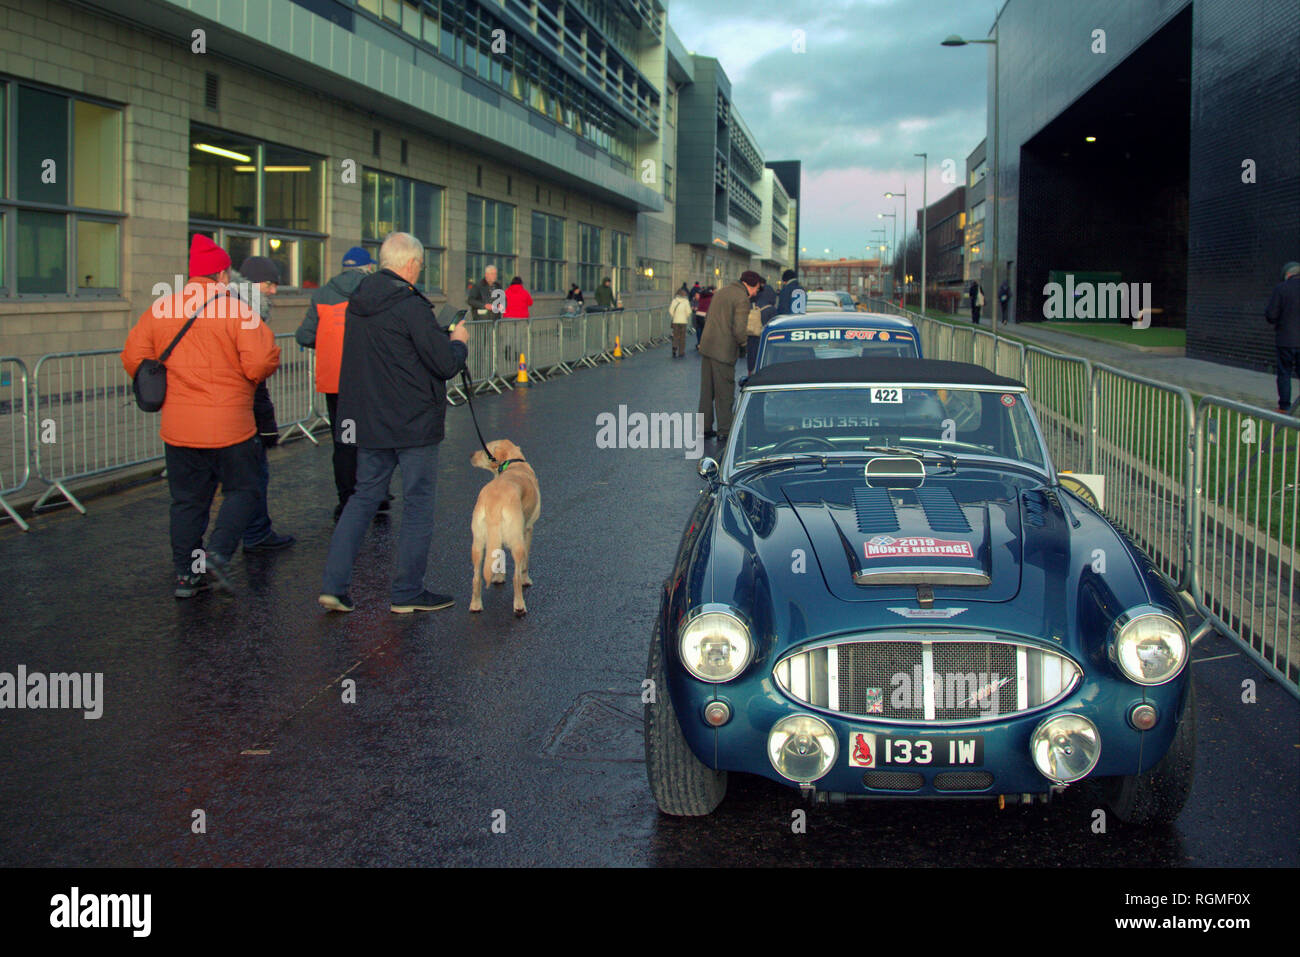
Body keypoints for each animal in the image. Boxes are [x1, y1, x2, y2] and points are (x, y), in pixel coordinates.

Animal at [467, 442, 538, 621]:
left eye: (485, 449)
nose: (470, 454)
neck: (514, 464)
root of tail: (495, 501)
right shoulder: (528, 530)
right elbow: (525, 564)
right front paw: (526, 580)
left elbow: (498, 559)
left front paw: (498, 578)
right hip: (517, 544)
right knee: (516, 577)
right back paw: (519, 606)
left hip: (477, 545)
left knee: (476, 577)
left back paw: (475, 605)